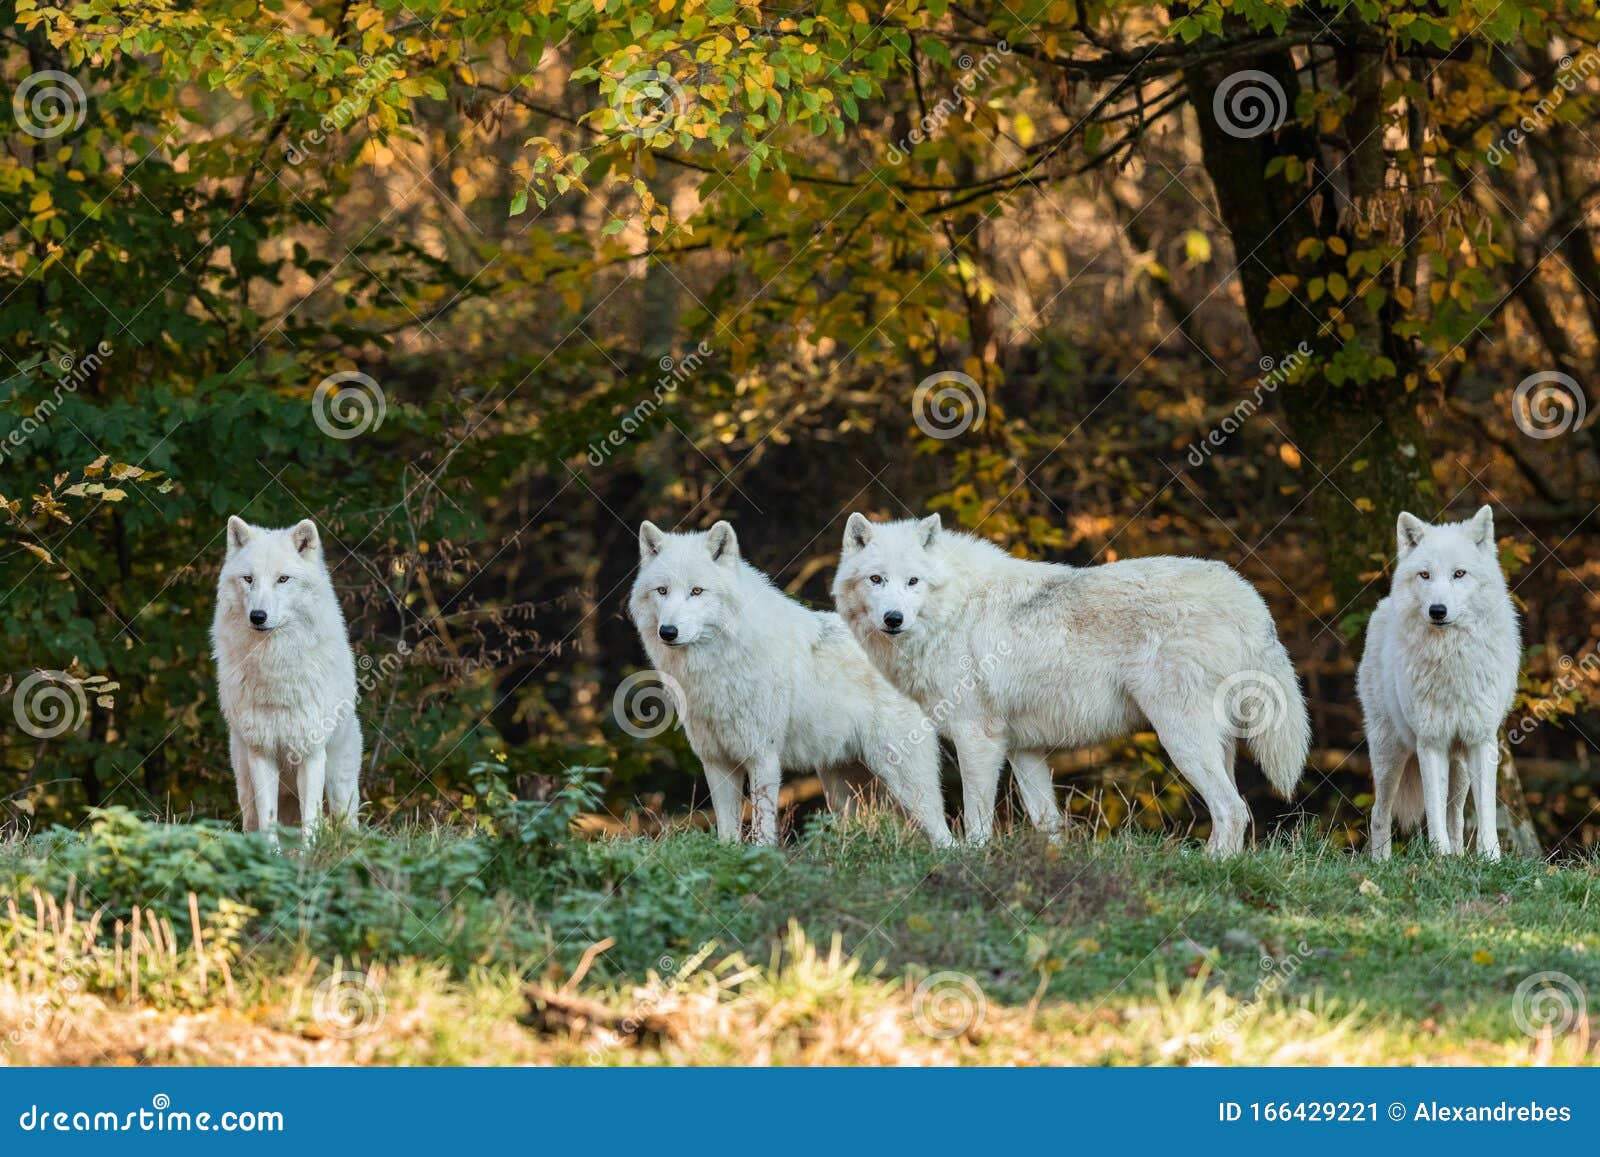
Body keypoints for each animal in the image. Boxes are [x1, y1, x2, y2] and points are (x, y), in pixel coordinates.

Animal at [212, 517, 361, 843]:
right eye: (248, 579)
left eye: (283, 579)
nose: (257, 616)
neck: (274, 667)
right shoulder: (261, 754)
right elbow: (269, 821)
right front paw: (271, 854)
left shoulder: (311, 753)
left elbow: (311, 820)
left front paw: (309, 852)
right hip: (245, 783)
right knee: (253, 822)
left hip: (340, 789)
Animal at [628, 520, 953, 847]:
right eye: (662, 591)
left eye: (696, 591)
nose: (668, 632)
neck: (717, 664)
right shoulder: (716, 761)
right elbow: (727, 832)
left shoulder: (763, 756)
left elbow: (762, 826)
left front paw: (761, 853)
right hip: (842, 787)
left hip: (902, 777)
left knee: (946, 837)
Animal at [832, 513, 1310, 854]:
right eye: (876, 579)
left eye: (913, 582)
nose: (893, 619)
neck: (953, 610)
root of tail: (1247, 597)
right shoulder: (1023, 748)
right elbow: (1048, 822)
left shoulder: (977, 738)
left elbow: (975, 815)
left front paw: (973, 859)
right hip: (1213, 743)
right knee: (1235, 809)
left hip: (1181, 738)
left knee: (1233, 809)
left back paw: (1206, 868)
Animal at [1357, 506, 1519, 860]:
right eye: (1425, 575)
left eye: (1459, 574)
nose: (1438, 610)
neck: (1451, 657)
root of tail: (1382, 605)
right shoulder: (1431, 742)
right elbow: (1432, 809)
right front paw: (1439, 857)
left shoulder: (1481, 740)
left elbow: (1485, 812)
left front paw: (1490, 859)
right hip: (1390, 752)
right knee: (1380, 812)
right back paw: (1381, 863)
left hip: (1459, 766)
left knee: (1455, 815)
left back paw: (1460, 857)